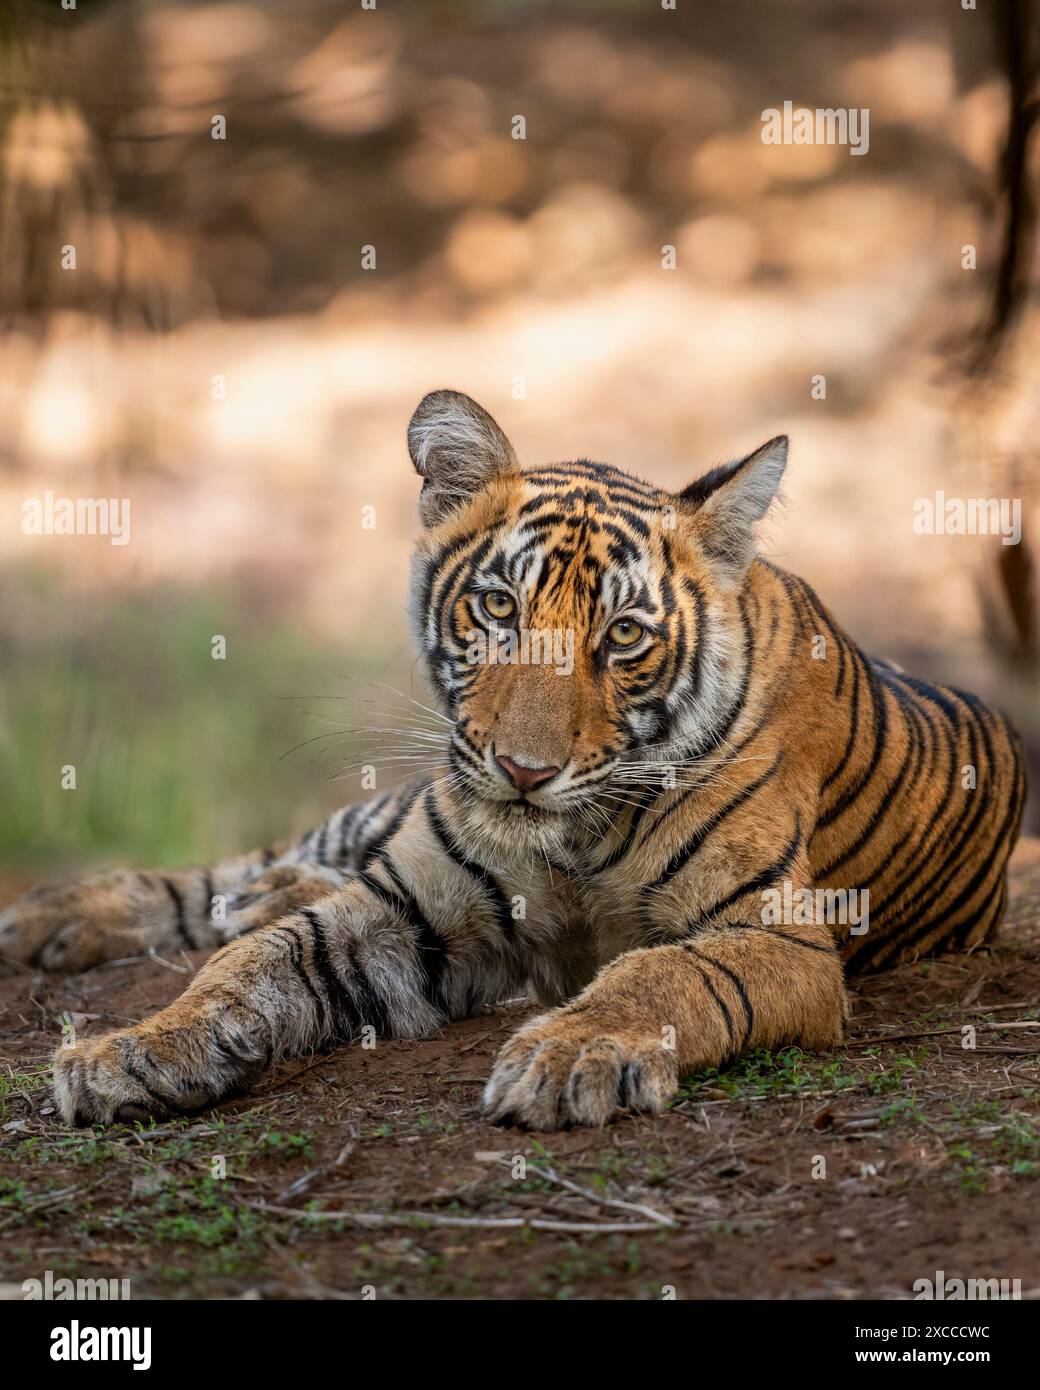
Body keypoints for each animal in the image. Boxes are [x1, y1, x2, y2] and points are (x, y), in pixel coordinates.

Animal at [0, 390, 1026, 1130]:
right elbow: (253, 963)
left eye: (623, 636)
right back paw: (56, 914)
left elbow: (661, 975)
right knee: (256, 868)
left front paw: (570, 1057)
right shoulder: (409, 905)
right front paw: (132, 1052)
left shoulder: (777, 935)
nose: (524, 771)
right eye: (499, 606)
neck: (573, 836)